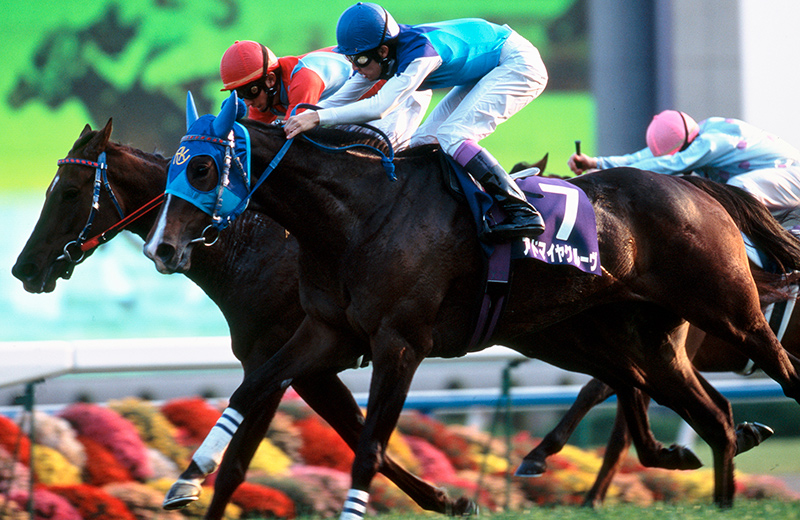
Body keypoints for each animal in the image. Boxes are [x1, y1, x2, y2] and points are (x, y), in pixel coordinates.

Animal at [11, 119, 477, 517]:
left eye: (70, 192)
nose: (23, 268)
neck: (250, 247)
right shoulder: (302, 362)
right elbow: (355, 427)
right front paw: (446, 498)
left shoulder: (288, 360)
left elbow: (237, 467)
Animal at [143, 94, 800, 515]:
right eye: (173, 168)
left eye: (201, 167)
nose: (161, 247)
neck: (356, 217)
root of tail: (695, 188)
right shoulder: (326, 332)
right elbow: (250, 389)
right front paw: (187, 479)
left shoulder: (400, 344)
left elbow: (368, 449)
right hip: (652, 341)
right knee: (712, 418)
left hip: (729, 312)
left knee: (778, 375)